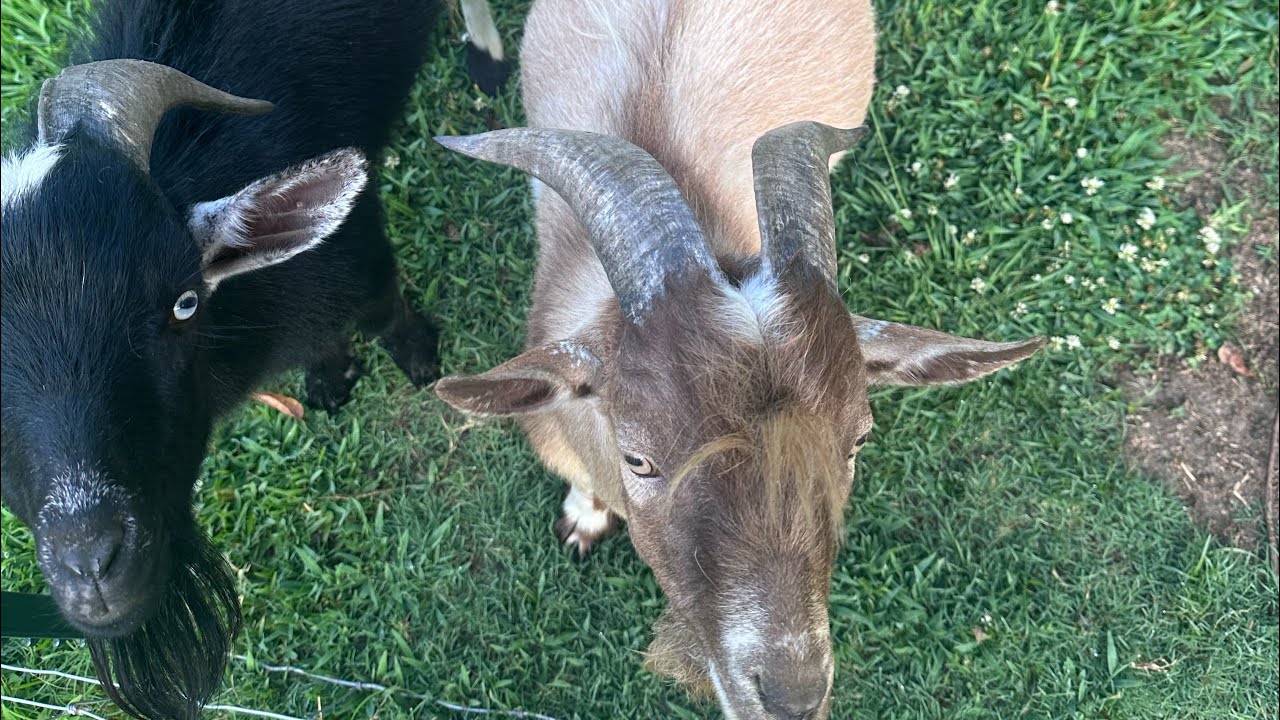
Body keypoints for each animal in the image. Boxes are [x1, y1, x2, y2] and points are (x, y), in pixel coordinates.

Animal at [0, 1, 506, 718]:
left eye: (183, 303)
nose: (93, 568)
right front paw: (329, 379)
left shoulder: (361, 253)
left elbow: (385, 314)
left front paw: (419, 359)